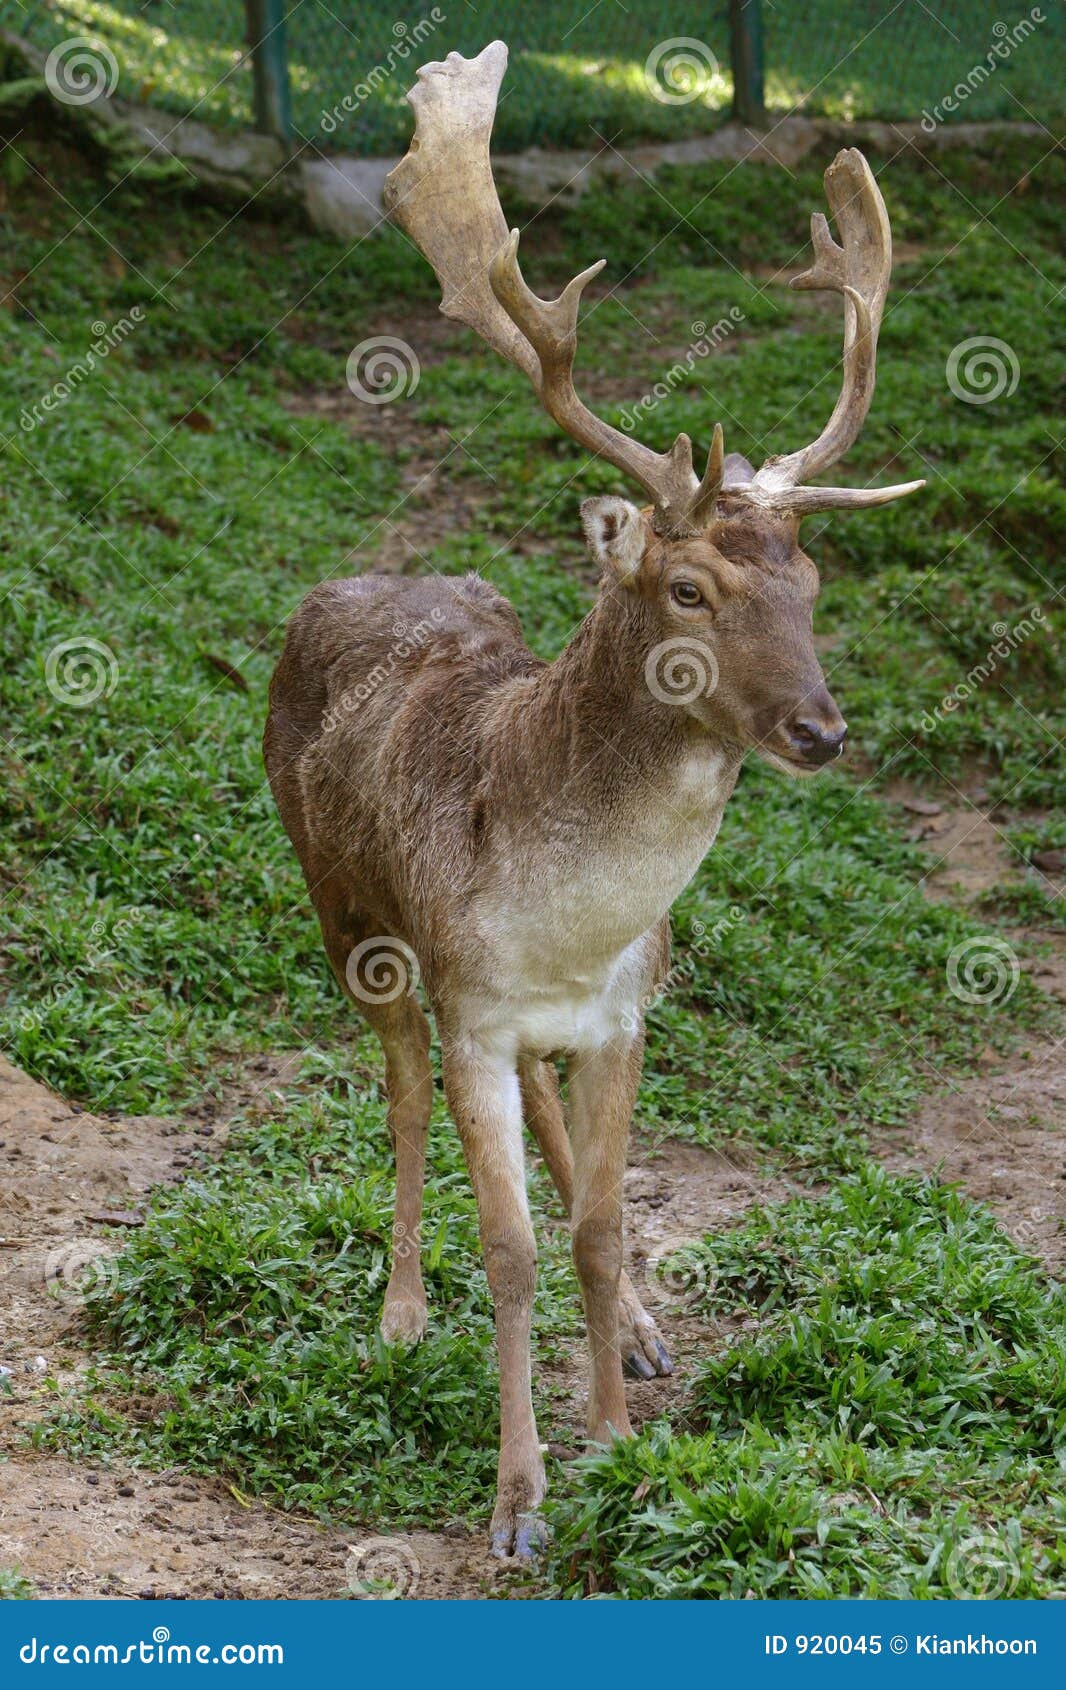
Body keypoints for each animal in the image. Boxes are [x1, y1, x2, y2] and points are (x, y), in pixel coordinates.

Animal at [263, 41, 924, 1562]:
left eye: (810, 581)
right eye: (687, 588)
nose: (819, 727)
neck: (566, 919)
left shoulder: (625, 1008)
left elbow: (602, 1222)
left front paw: (619, 1438)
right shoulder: (470, 999)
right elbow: (508, 1248)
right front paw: (517, 1501)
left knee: (542, 1134)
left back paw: (635, 1334)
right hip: (349, 919)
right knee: (396, 1092)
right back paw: (398, 1313)